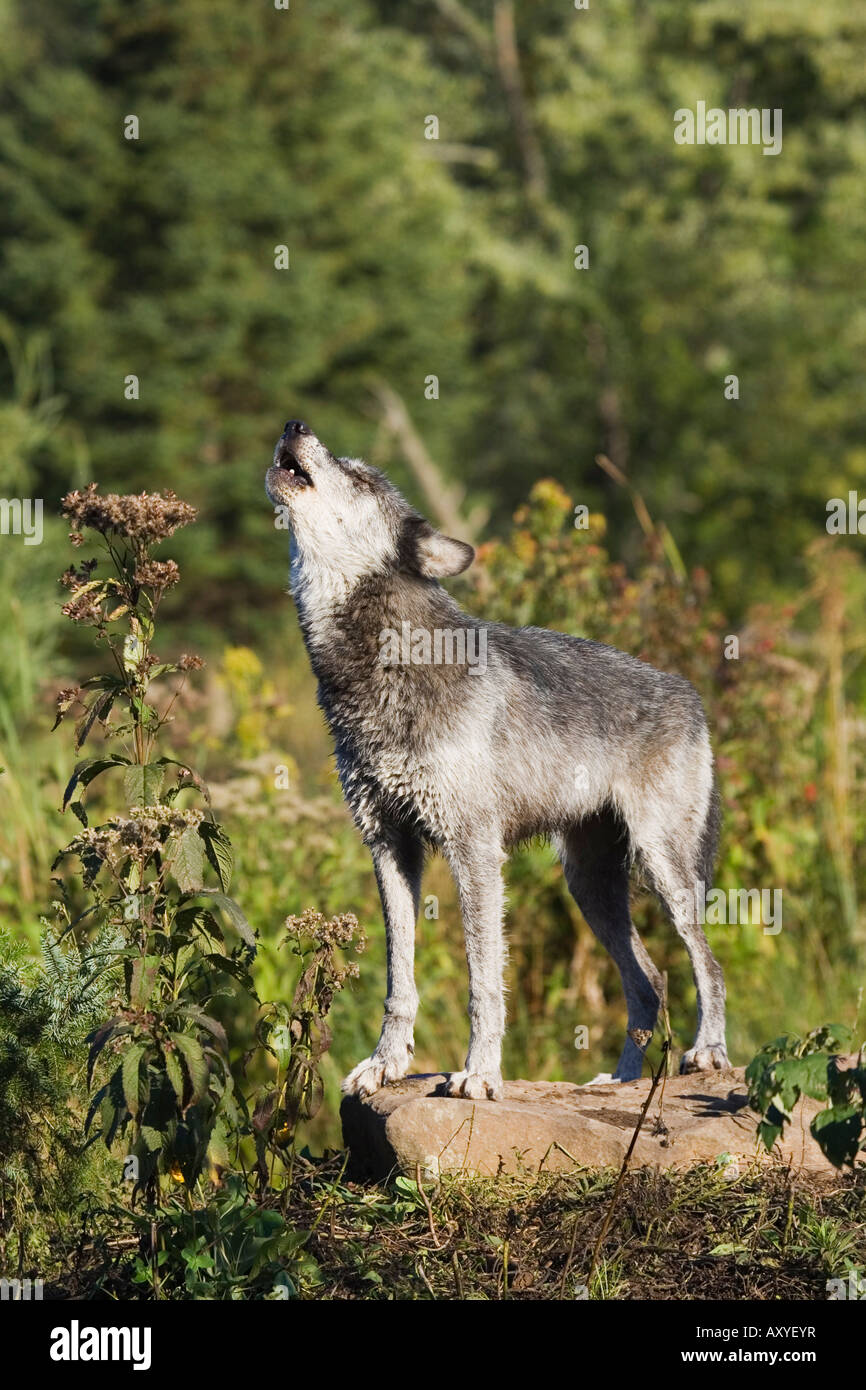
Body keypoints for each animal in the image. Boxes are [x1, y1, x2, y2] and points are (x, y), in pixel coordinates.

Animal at [266, 420, 728, 1101]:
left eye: (360, 476)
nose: (295, 425)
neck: (379, 664)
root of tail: (690, 692)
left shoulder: (474, 848)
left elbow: (484, 982)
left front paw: (480, 1074)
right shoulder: (389, 846)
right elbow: (398, 980)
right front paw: (385, 1064)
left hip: (664, 870)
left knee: (706, 965)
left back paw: (707, 1053)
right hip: (590, 888)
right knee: (648, 984)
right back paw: (614, 1086)